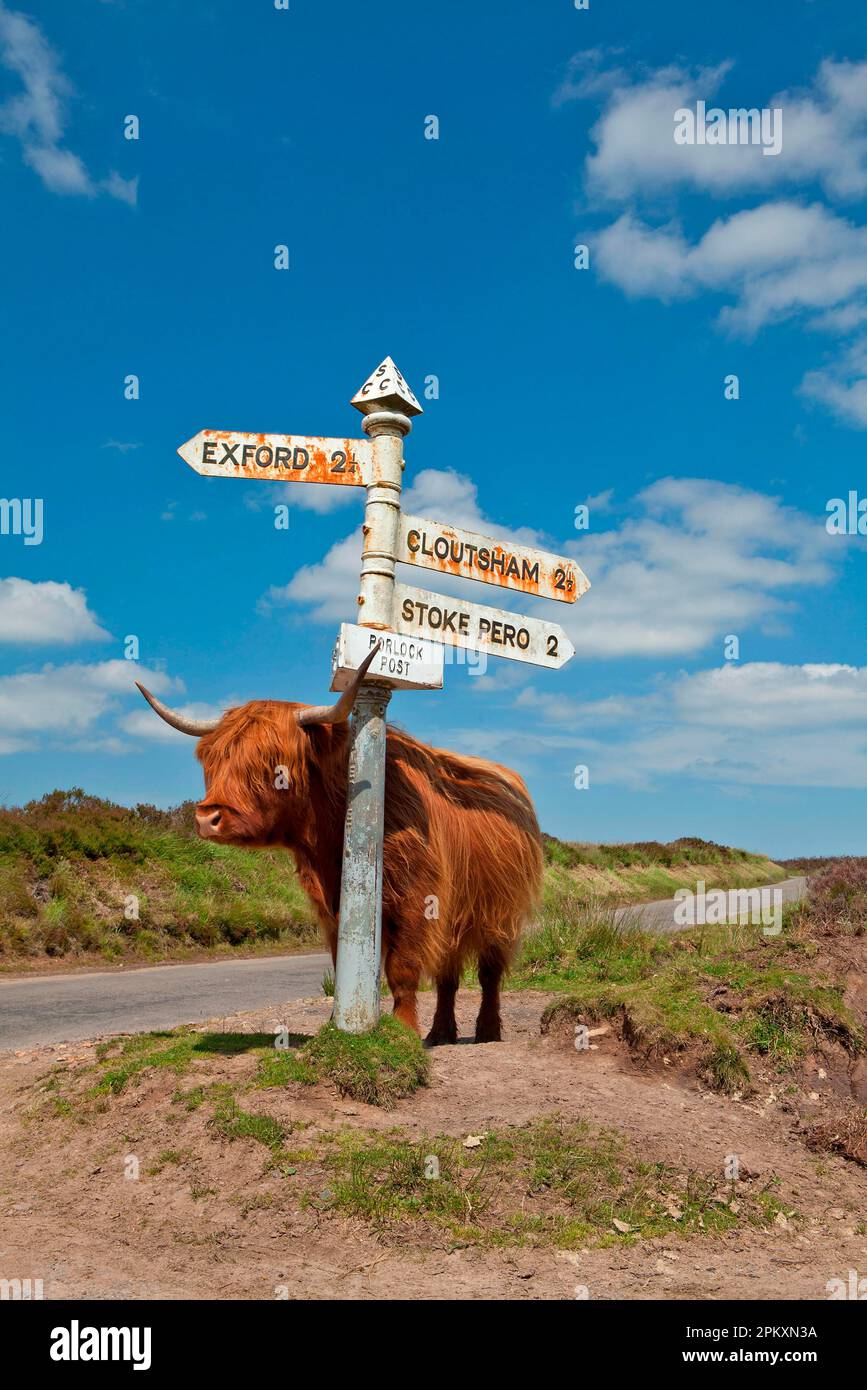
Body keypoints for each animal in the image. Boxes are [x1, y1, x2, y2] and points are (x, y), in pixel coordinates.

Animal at [136, 645, 543, 1044]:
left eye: (273, 764)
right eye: (213, 759)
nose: (209, 818)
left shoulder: (417, 901)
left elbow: (402, 969)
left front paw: (404, 1031)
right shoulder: (333, 907)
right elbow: (343, 964)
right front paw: (337, 1024)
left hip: (498, 915)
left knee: (489, 973)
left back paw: (487, 1030)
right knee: (449, 974)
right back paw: (440, 1032)